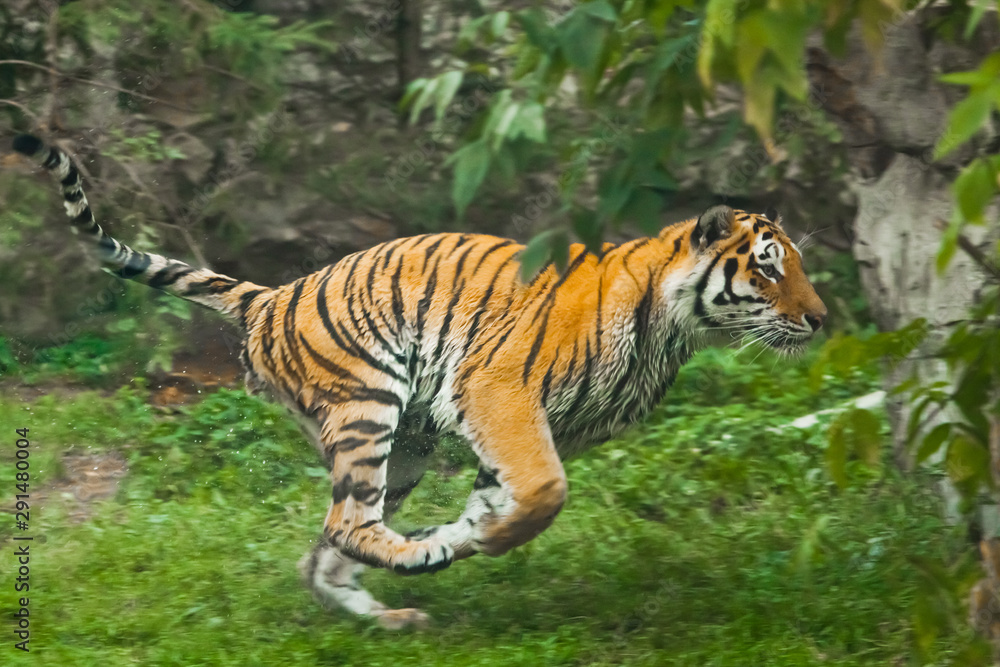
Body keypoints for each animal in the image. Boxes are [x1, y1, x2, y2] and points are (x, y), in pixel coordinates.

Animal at [12, 133, 826, 629]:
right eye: (767, 268)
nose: (820, 320)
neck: (673, 329)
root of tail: (271, 295)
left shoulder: (516, 427)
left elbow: (505, 498)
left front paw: (471, 532)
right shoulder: (501, 394)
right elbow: (544, 492)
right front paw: (472, 540)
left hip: (406, 442)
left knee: (328, 542)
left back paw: (390, 615)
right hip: (369, 403)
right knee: (347, 523)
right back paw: (416, 559)